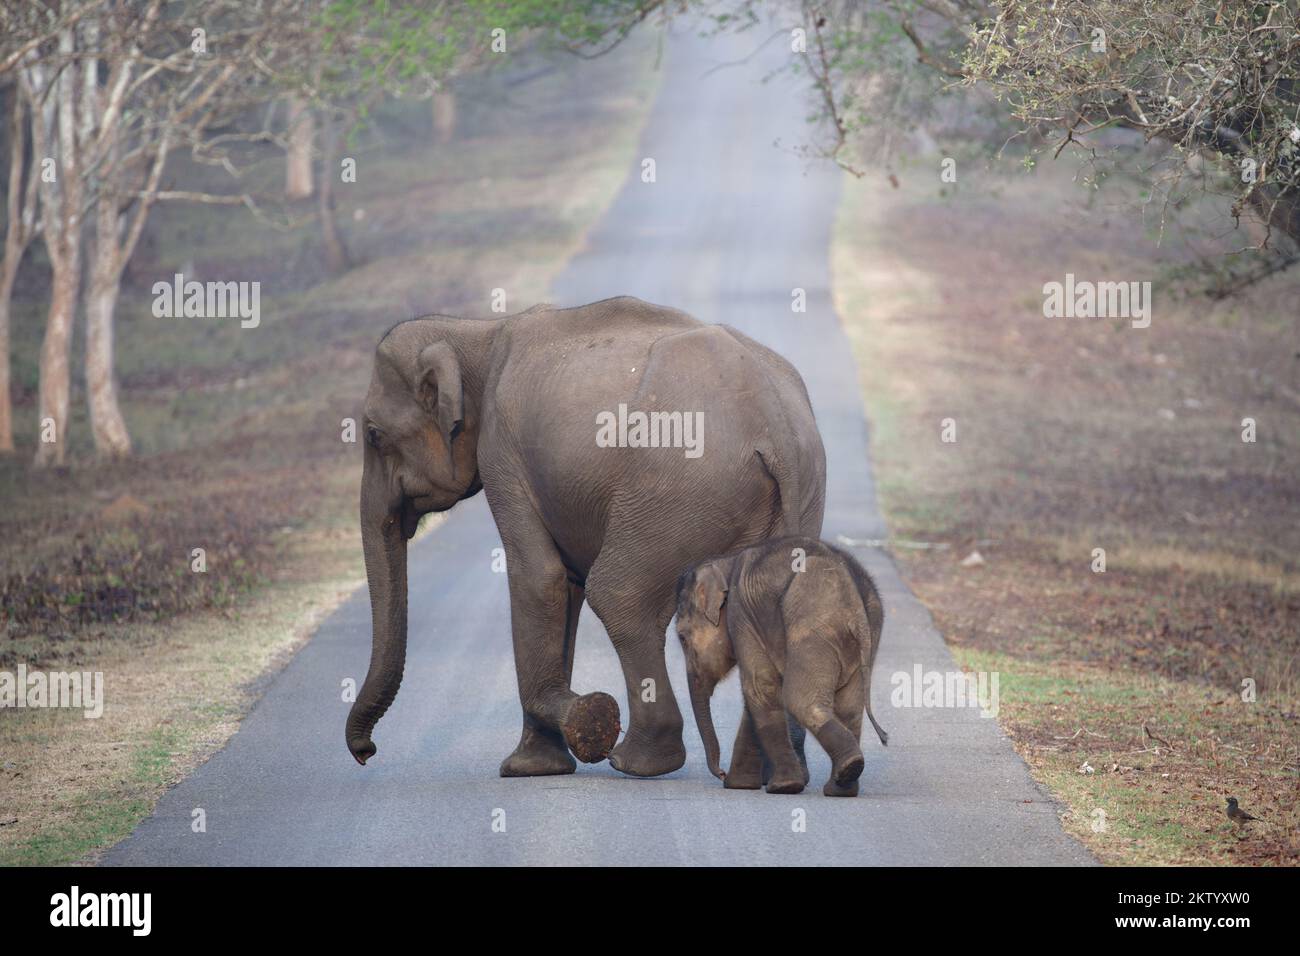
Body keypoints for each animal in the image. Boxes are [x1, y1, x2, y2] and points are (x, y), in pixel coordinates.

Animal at [345, 296, 827, 778]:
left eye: (372, 434)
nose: (366, 752)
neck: (476, 335)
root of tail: (776, 427)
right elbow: (566, 589)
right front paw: (540, 764)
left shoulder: (503, 454)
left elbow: (539, 579)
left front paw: (560, 738)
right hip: (789, 495)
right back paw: (770, 772)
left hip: (675, 493)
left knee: (617, 594)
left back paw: (637, 762)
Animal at [674, 536, 889, 797]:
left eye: (682, 638)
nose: (721, 773)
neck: (727, 563)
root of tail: (855, 603)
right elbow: (758, 694)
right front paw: (739, 785)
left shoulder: (742, 615)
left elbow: (760, 687)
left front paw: (782, 786)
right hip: (867, 632)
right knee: (850, 708)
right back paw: (842, 785)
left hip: (812, 625)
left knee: (800, 700)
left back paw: (847, 770)